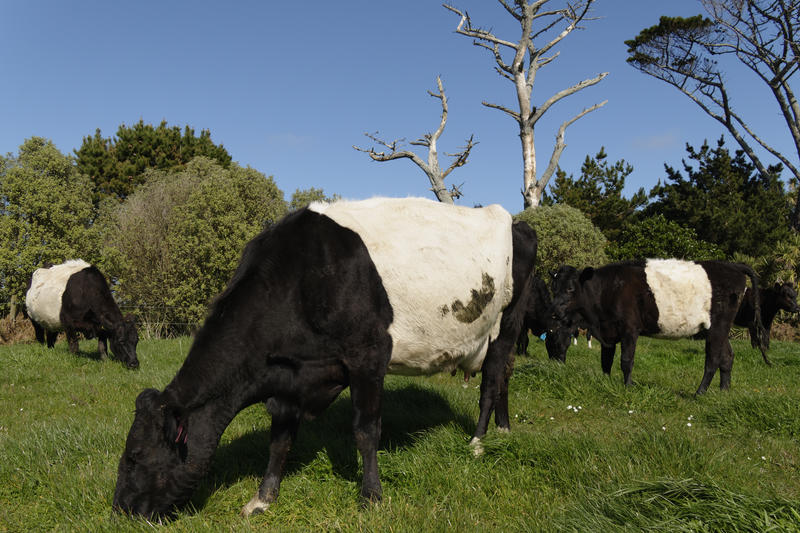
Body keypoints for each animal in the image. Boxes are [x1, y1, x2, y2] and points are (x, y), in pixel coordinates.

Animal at [112, 197, 537, 519]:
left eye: (135, 456)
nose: (119, 510)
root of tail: (515, 221)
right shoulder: (288, 377)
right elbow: (280, 440)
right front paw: (262, 498)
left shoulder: (369, 355)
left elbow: (366, 431)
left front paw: (371, 497)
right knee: (505, 376)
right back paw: (503, 429)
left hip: (507, 324)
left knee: (492, 380)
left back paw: (478, 442)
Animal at [550, 259, 767, 395]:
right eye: (553, 288)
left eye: (570, 288)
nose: (554, 311)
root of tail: (732, 266)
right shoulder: (608, 331)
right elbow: (606, 361)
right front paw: (606, 382)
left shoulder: (630, 329)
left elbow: (626, 361)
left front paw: (628, 387)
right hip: (719, 329)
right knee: (727, 356)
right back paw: (724, 391)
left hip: (718, 326)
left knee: (712, 360)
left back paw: (699, 393)